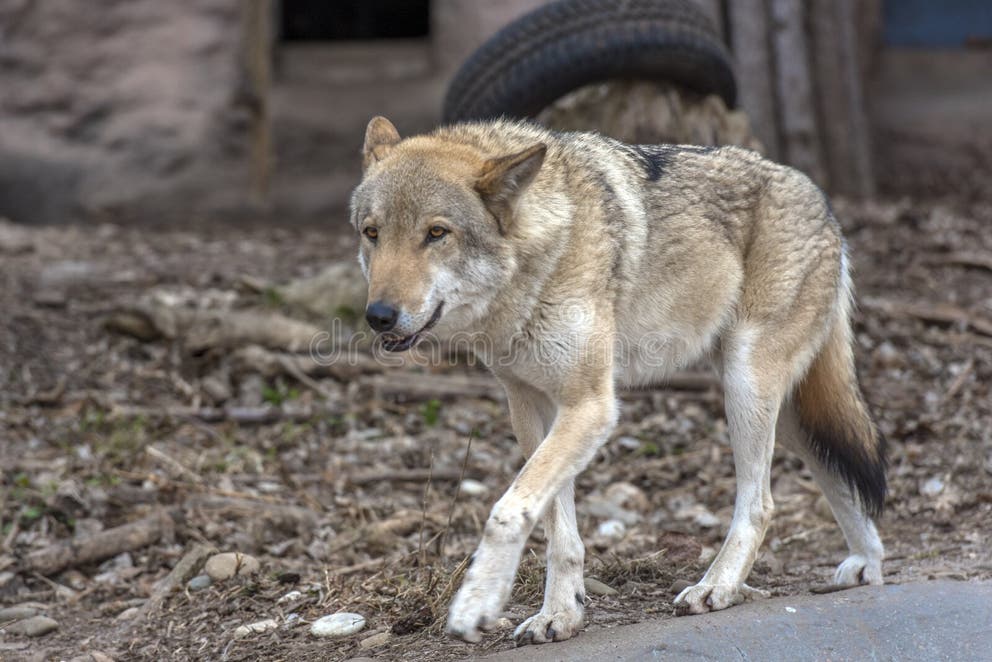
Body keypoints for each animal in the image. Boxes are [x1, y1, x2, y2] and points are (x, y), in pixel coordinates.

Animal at [350, 116, 886, 645]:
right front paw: (560, 614)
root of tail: (822, 201)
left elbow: (506, 512)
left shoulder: (591, 405)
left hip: (746, 387)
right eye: (372, 233)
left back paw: (716, 586)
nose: (378, 316)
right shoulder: (531, 407)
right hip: (787, 415)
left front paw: (476, 602)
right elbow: (556, 530)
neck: (537, 258)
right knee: (836, 469)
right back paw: (867, 565)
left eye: (436, 233)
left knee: (761, 505)